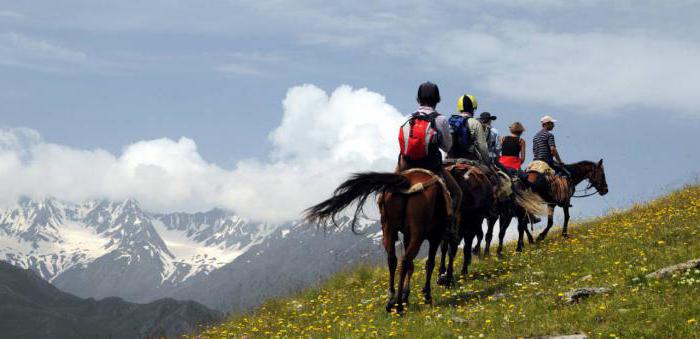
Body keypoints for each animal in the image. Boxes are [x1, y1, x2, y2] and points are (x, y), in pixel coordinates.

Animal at [304, 169, 448, 314]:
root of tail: (407, 181)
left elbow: (414, 266)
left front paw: (407, 296)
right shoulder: (435, 236)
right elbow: (430, 264)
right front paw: (426, 295)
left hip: (389, 229)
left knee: (393, 260)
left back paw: (392, 301)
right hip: (416, 233)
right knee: (405, 261)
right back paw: (399, 305)